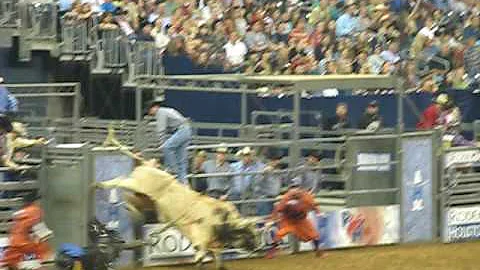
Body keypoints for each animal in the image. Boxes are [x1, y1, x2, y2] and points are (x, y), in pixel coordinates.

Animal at [94, 161, 262, 268]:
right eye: (249, 233)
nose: (258, 247)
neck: (223, 220)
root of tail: (149, 166)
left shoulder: (215, 249)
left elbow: (219, 265)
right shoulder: (200, 243)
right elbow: (199, 257)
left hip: (143, 197)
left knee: (129, 196)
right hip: (137, 185)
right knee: (121, 180)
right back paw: (99, 185)